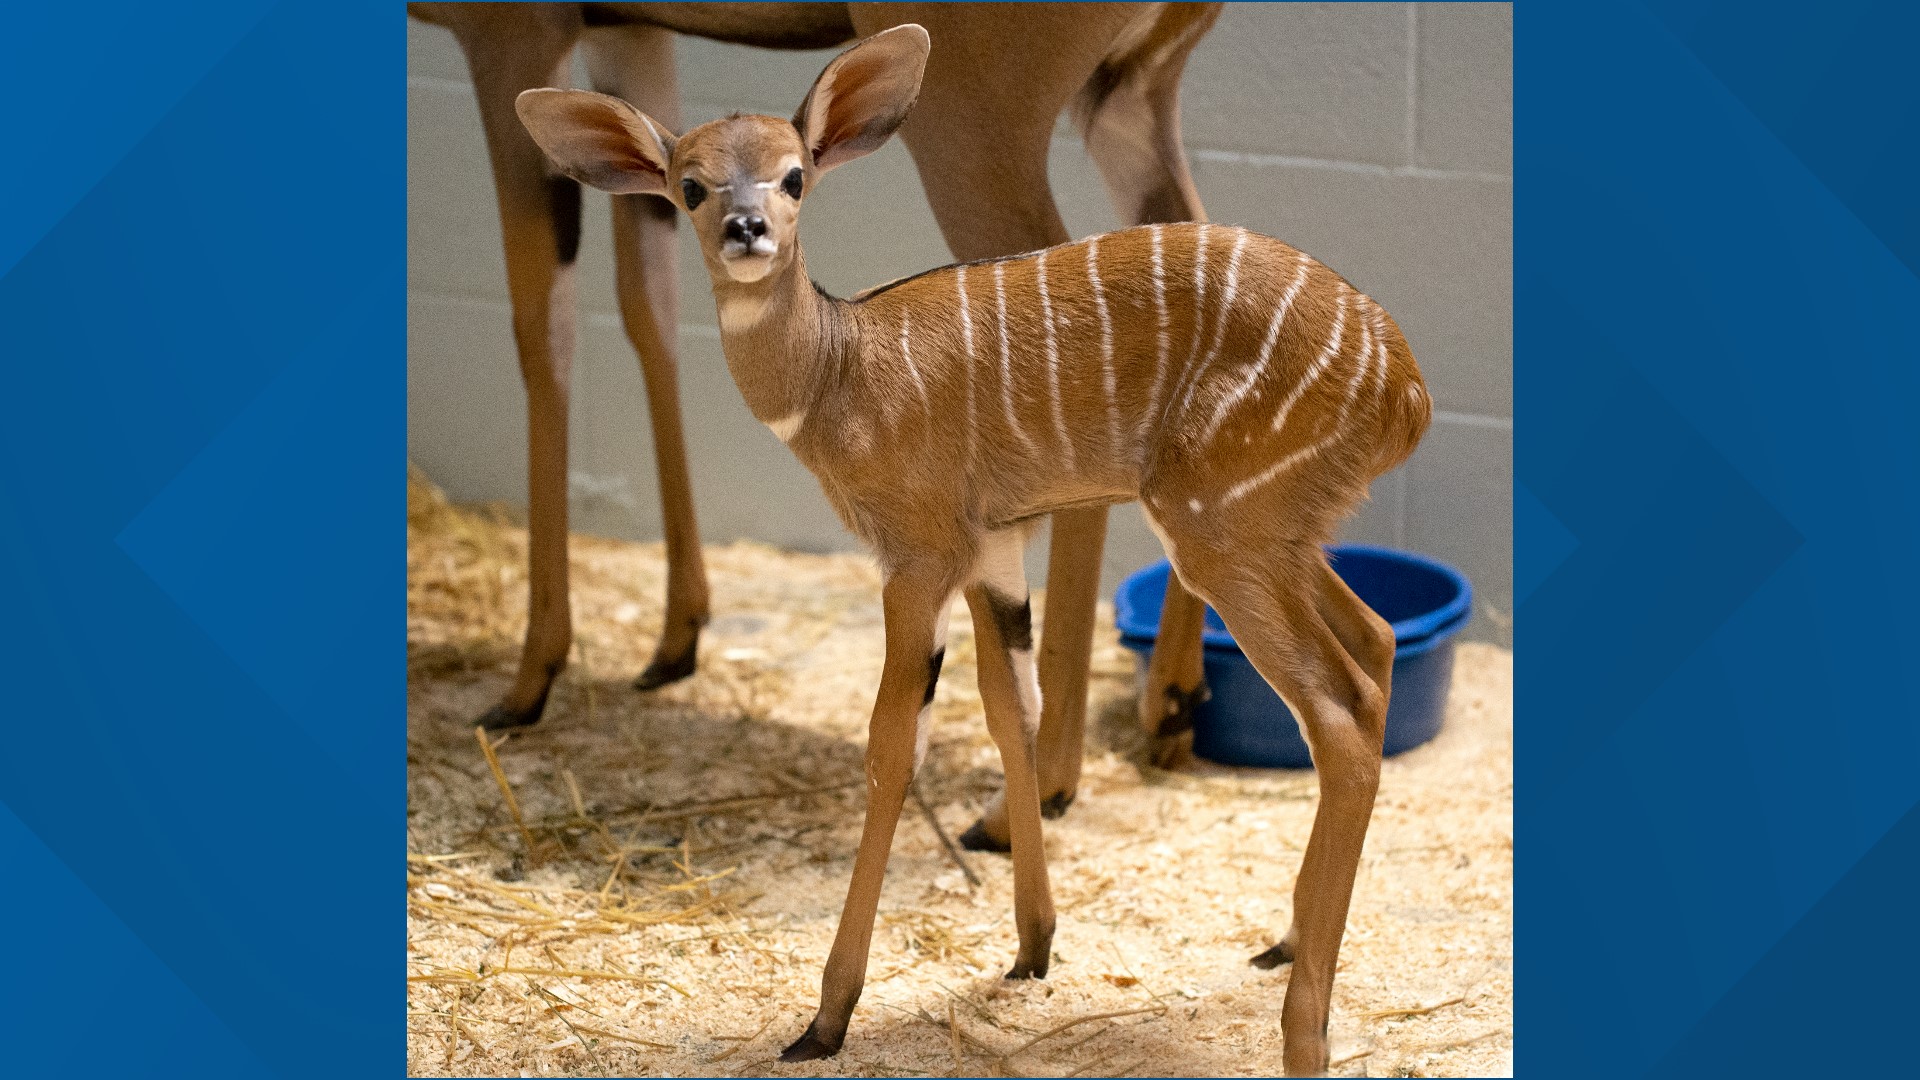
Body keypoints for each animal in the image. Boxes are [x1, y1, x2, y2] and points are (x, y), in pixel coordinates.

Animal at [408, 2, 1226, 852]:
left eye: (796, 177)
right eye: (692, 186)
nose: (745, 227)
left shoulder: (516, 32)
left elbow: (543, 327)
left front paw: (529, 676)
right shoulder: (627, 35)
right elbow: (648, 303)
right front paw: (675, 637)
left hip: (978, 129)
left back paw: (1030, 795)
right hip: (1131, 93)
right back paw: (1170, 705)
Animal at [517, 24, 1431, 1076]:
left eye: (794, 177)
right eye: (691, 184)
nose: (747, 229)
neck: (838, 372)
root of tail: (1407, 390)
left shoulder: (916, 552)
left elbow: (892, 746)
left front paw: (825, 1019)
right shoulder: (995, 546)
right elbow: (1011, 711)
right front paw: (1033, 947)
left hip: (1220, 528)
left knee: (1341, 712)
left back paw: (1302, 1033)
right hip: (1282, 532)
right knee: (1376, 640)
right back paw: (1281, 943)